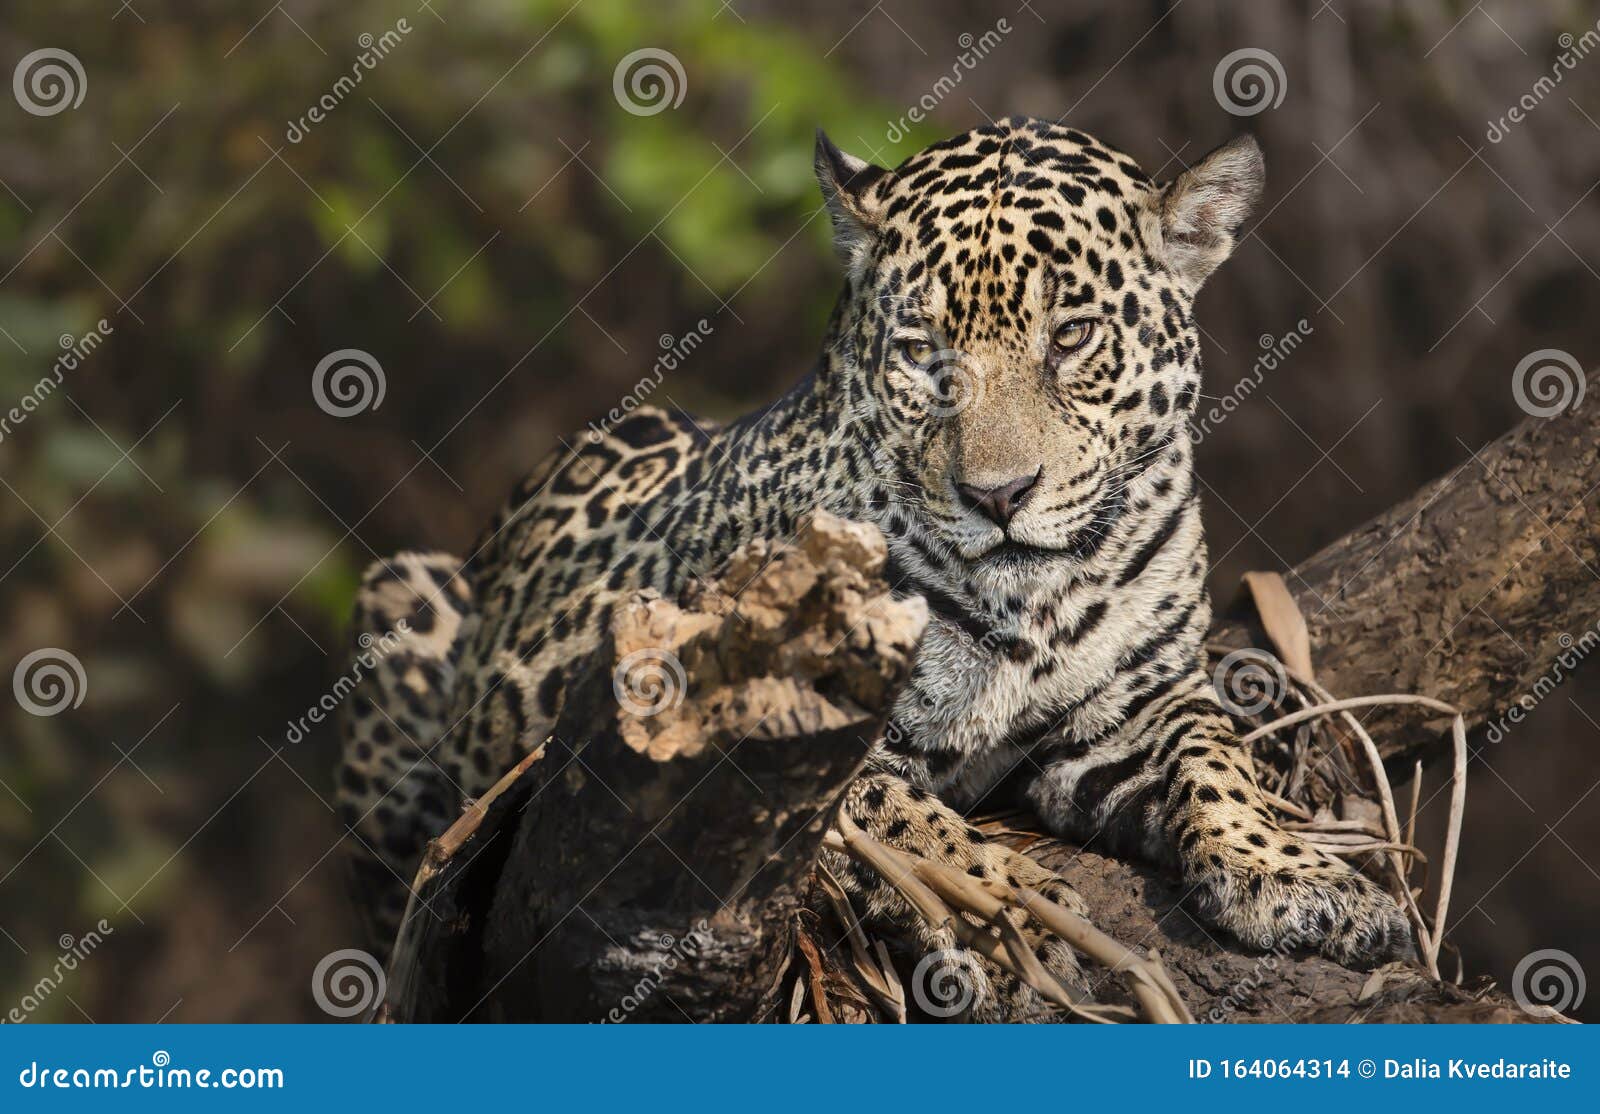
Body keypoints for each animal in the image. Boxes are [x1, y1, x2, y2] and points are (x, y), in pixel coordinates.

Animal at [335, 115, 1412, 1021]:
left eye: (1070, 337)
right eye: (923, 353)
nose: (999, 495)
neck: (1033, 598)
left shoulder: (1135, 701)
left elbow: (1214, 755)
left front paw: (1299, 876)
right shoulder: (763, 720)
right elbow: (900, 815)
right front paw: (998, 910)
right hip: (404, 610)